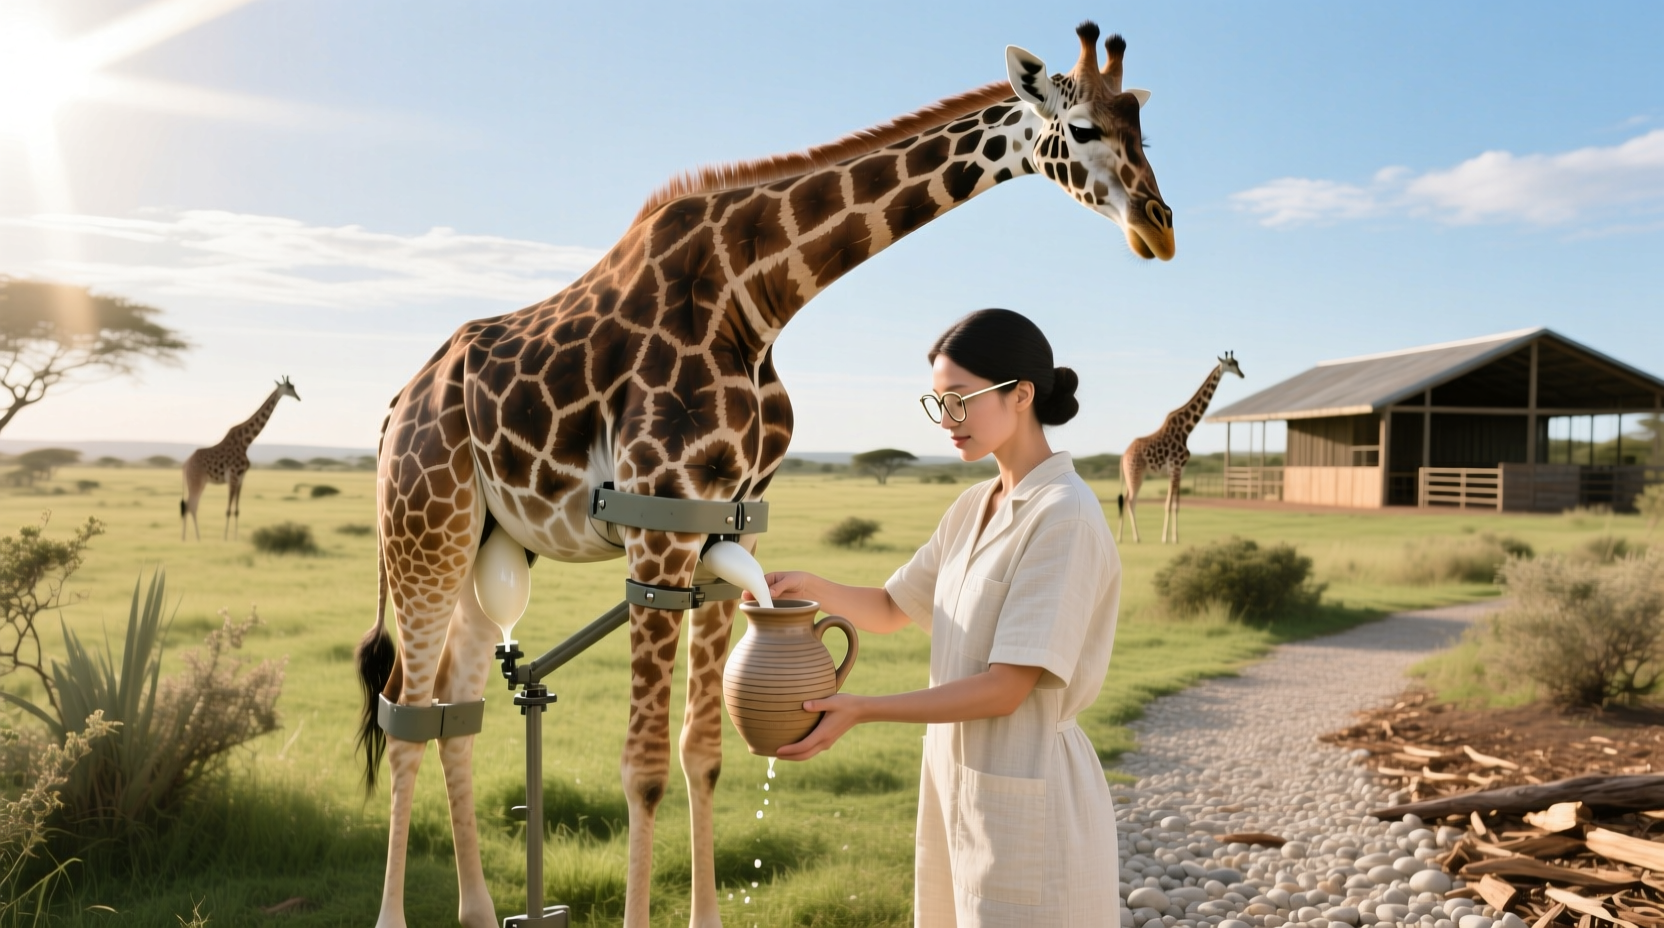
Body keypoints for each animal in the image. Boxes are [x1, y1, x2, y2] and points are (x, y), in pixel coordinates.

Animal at [180, 376, 300, 541]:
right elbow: (228, 510)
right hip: (196, 482)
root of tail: (185, 464)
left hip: (196, 482)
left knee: (189, 505)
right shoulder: (234, 477)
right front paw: (225, 538)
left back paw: (188, 538)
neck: (246, 442)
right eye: (290, 387)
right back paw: (194, 538)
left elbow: (236, 510)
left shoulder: (242, 478)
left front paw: (235, 538)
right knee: (191, 506)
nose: (298, 397)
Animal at [354, 22, 1173, 928]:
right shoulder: (659, 522)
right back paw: (394, 916)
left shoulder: (724, 526)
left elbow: (701, 752)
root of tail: (399, 404)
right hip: (424, 526)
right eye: (1086, 129)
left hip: (487, 540)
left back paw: (473, 908)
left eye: (1147, 131)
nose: (1160, 228)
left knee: (456, 709)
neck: (756, 297)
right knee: (408, 712)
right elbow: (641, 767)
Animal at [1118, 353, 1243, 545]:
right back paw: (1135, 538)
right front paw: (1165, 538)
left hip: (1135, 474)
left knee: (1126, 500)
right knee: (1129, 501)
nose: (1242, 374)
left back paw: (1120, 537)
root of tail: (1123, 456)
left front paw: (1175, 538)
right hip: (1135, 473)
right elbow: (1168, 504)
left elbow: (1176, 505)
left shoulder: (1180, 471)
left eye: (1237, 363)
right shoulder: (1175, 467)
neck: (1187, 429)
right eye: (1230, 363)